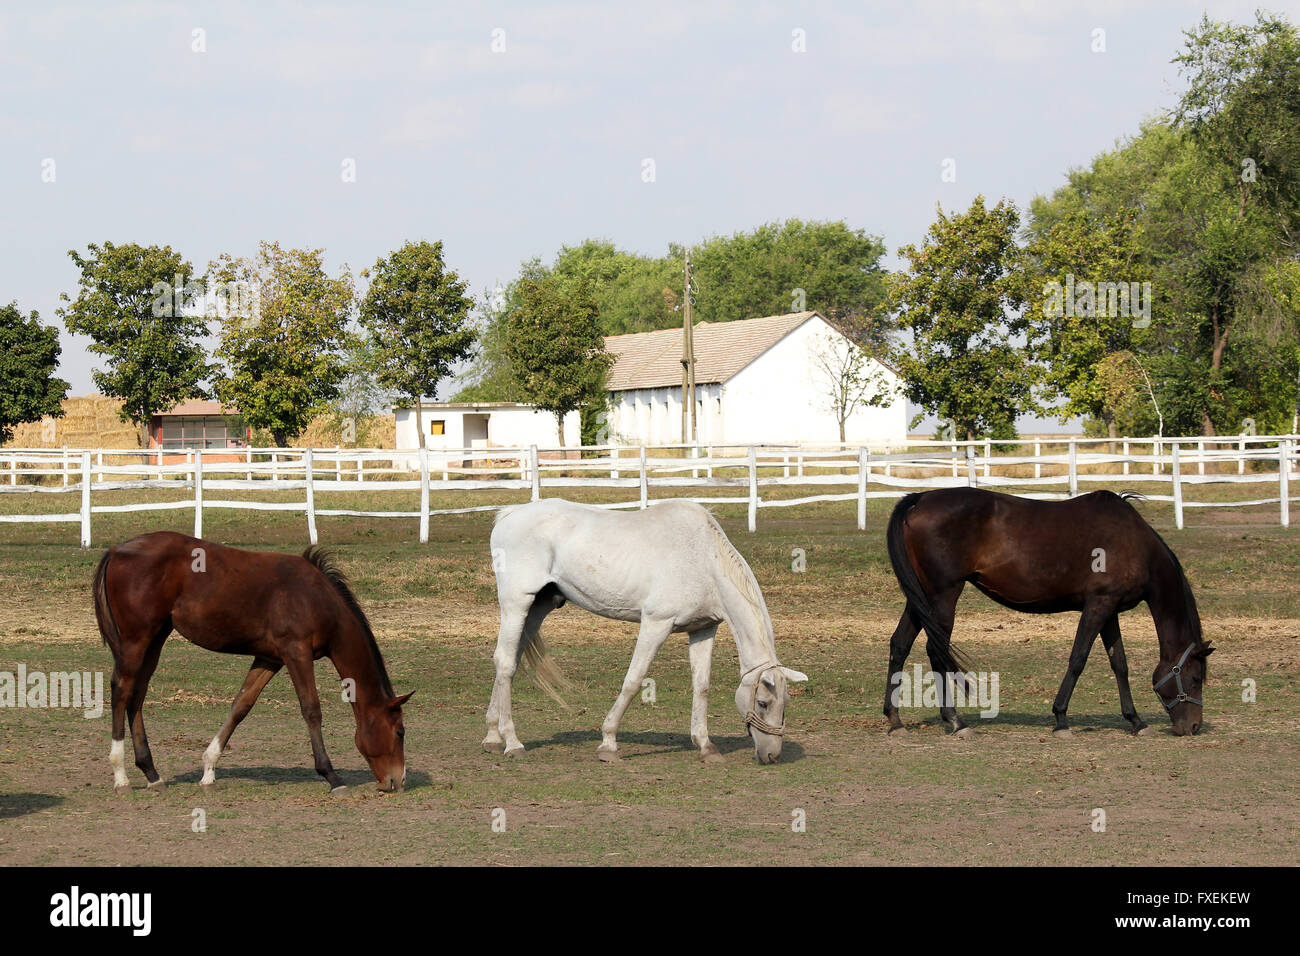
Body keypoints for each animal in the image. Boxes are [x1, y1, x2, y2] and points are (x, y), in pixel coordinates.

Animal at [92, 531, 412, 793]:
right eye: (400, 732)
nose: (398, 781)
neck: (316, 598)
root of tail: (117, 549)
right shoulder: (296, 653)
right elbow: (311, 709)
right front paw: (331, 776)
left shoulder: (270, 658)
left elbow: (241, 706)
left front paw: (209, 769)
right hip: (136, 640)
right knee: (122, 689)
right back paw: (120, 775)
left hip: (155, 639)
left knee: (137, 694)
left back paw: (151, 773)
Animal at [484, 498, 807, 764]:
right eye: (763, 703)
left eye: (786, 705)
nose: (771, 756)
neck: (704, 560)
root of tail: (509, 515)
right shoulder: (656, 624)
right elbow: (633, 680)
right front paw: (608, 744)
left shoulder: (703, 630)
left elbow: (701, 686)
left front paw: (705, 746)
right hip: (516, 605)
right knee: (505, 662)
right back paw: (512, 743)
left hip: (537, 608)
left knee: (508, 663)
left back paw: (492, 737)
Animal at [883, 488, 1213, 737]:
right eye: (1196, 677)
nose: (1193, 726)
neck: (1135, 543)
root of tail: (920, 498)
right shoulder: (1098, 606)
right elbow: (1078, 659)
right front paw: (1061, 719)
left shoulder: (1110, 610)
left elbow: (1119, 663)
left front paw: (1135, 720)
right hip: (943, 595)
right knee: (935, 650)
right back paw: (956, 721)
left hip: (921, 598)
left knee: (900, 643)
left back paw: (895, 720)